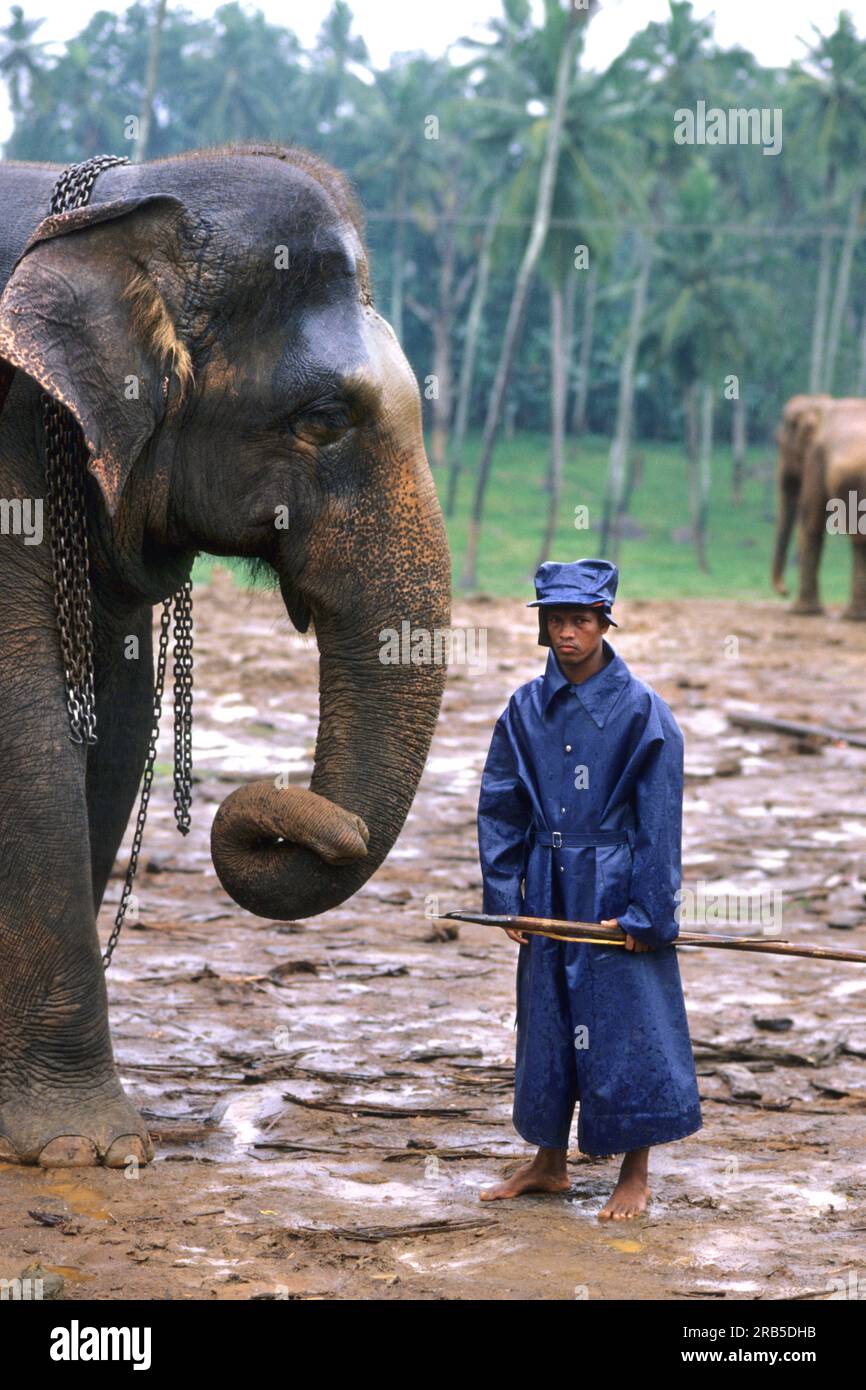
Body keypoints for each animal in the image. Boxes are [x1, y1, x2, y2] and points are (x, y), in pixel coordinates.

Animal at [0, 145, 451, 1166]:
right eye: (323, 419)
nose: (320, 822)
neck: (125, 199)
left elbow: (117, 721)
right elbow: (26, 723)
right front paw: (88, 1150)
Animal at [771, 393, 866, 619]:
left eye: (782, 444)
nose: (784, 591)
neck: (819, 403)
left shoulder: (816, 456)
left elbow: (810, 522)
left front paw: (801, 612)